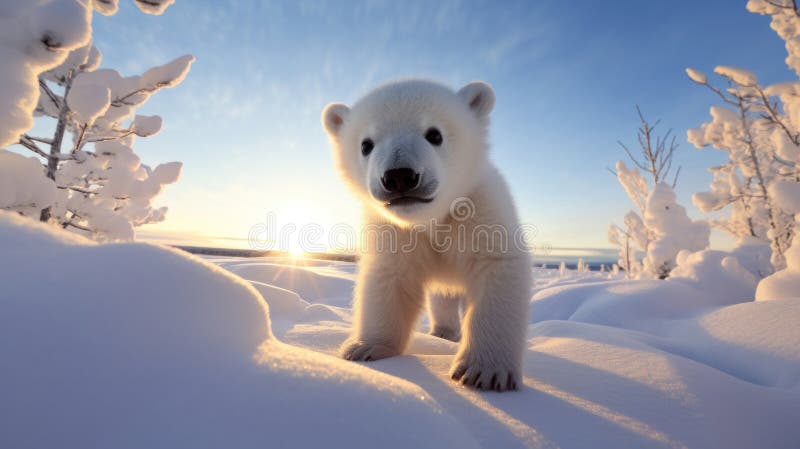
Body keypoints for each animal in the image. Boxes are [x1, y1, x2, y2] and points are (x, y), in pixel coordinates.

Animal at [321, 79, 531, 391]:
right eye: (366, 144)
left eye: (434, 134)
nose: (399, 176)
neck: (430, 219)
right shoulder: (395, 231)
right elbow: (390, 278)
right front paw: (365, 347)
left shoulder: (480, 211)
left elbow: (496, 271)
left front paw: (485, 372)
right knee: (442, 298)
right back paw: (443, 332)